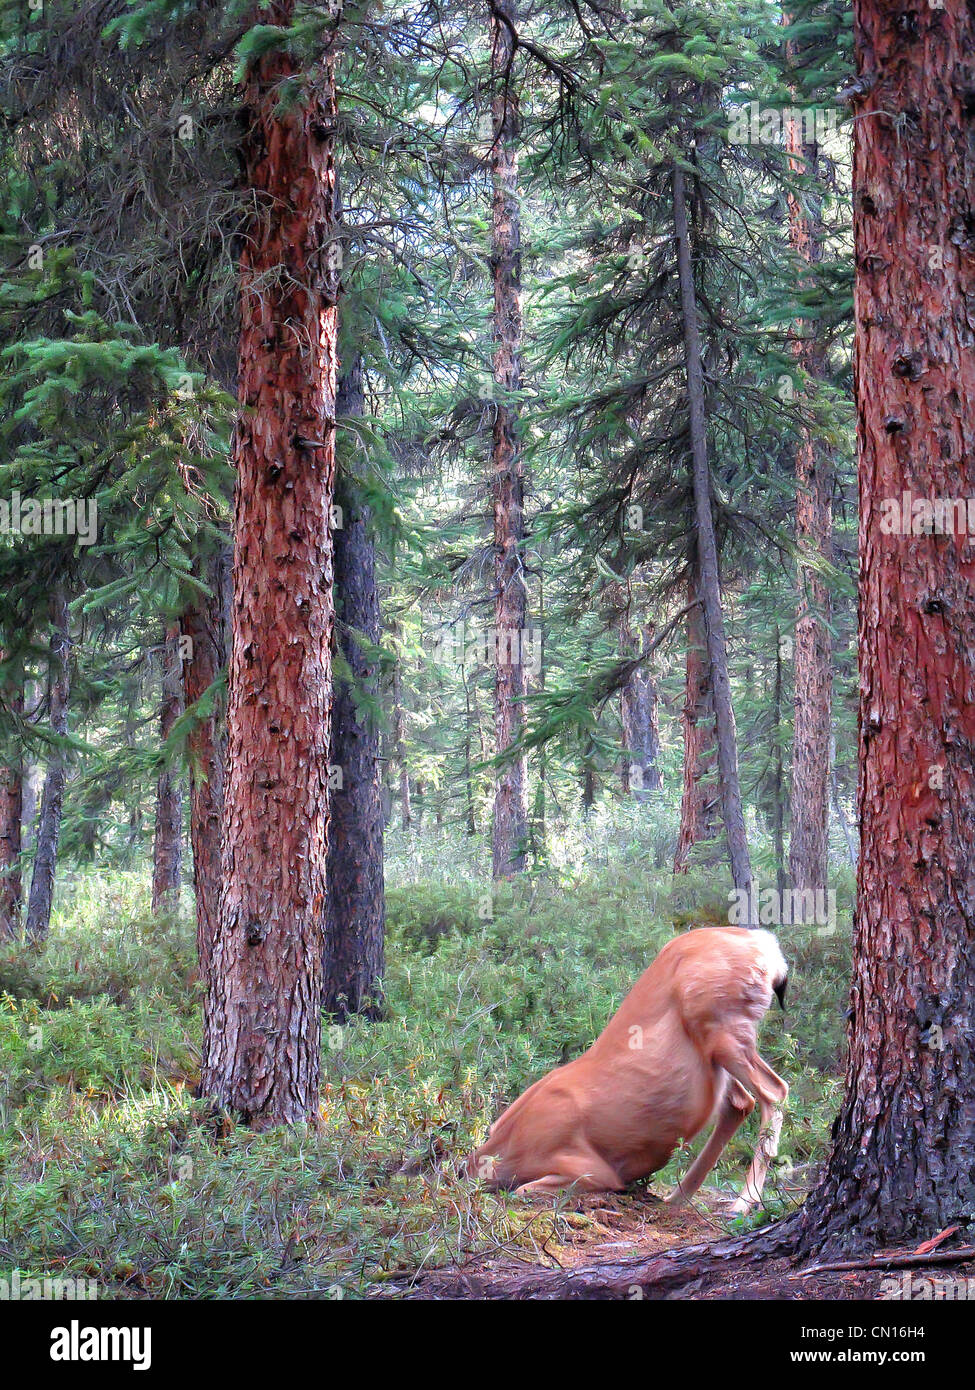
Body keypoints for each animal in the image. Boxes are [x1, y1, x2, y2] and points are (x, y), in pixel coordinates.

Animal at [465, 926, 789, 1215]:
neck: (511, 1142)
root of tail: (768, 947)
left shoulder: (590, 1168)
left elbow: (524, 1189)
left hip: (723, 1027)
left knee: (774, 1091)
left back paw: (743, 1203)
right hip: (717, 1049)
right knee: (741, 1102)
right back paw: (677, 1198)